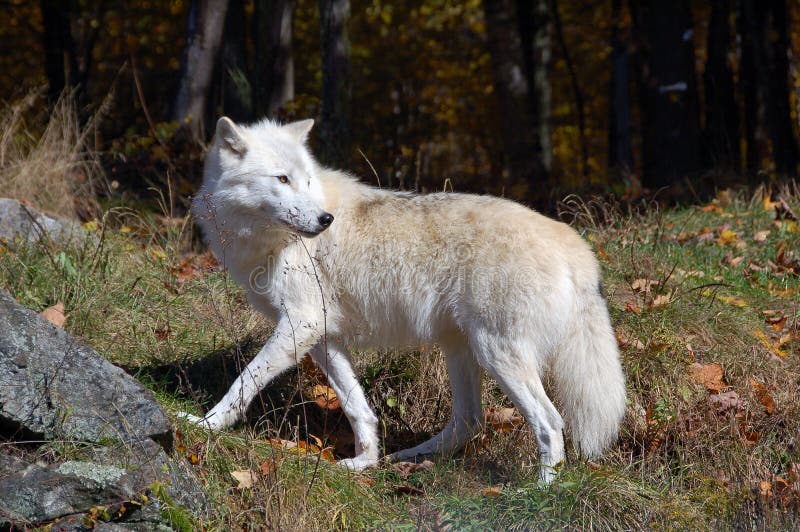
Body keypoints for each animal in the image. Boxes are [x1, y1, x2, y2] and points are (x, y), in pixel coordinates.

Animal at [188, 116, 626, 484]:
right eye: (282, 179)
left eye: (307, 181)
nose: (325, 220)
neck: (265, 242)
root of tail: (575, 245)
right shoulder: (322, 335)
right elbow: (357, 407)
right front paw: (363, 462)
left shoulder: (301, 323)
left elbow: (244, 381)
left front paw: (203, 425)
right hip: (461, 350)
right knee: (470, 422)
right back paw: (407, 457)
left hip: (496, 354)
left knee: (549, 423)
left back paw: (540, 491)